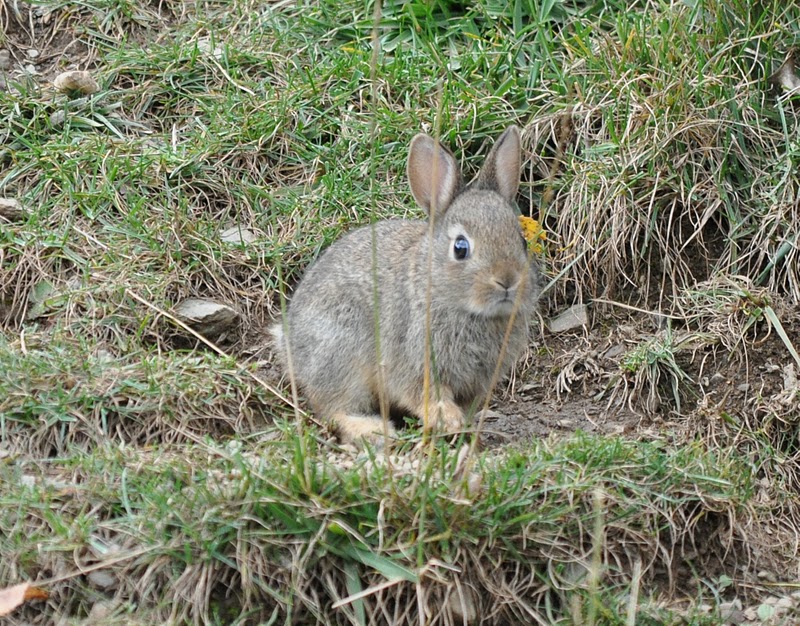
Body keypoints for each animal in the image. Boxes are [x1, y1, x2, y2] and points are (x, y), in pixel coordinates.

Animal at [272, 126, 541, 445]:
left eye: (522, 241)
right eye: (460, 248)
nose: (508, 280)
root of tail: (289, 343)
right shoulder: (414, 362)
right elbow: (426, 396)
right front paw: (449, 421)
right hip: (341, 351)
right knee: (333, 409)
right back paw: (375, 430)